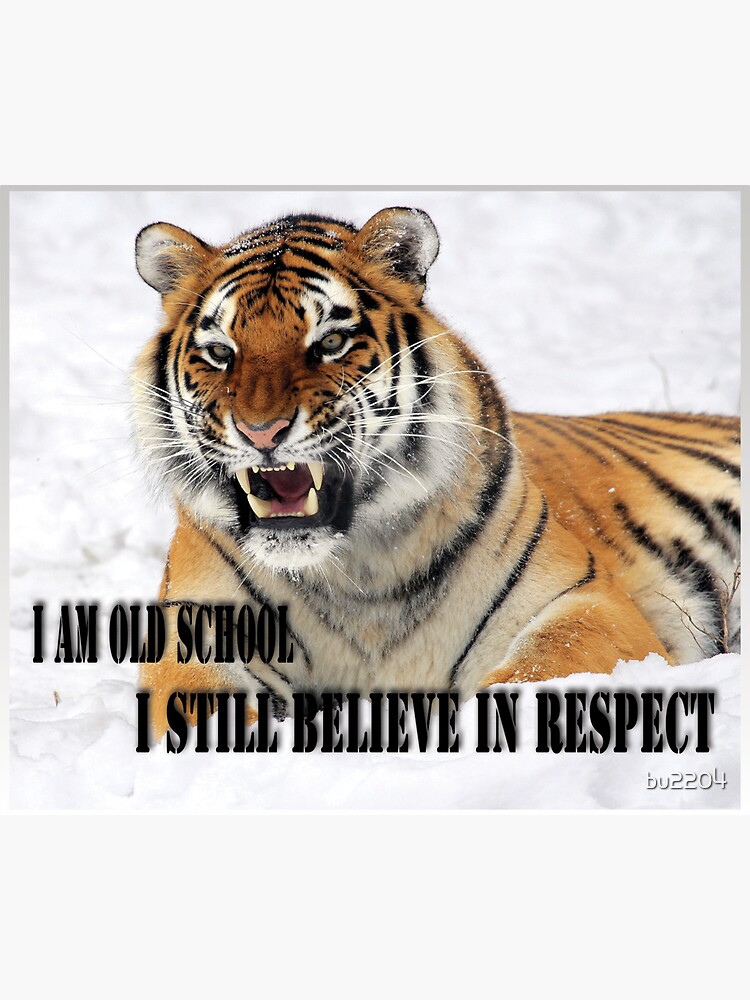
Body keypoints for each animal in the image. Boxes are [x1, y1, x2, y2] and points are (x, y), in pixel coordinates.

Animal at [132, 206, 741, 741]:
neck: (355, 571)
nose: (261, 432)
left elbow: (537, 672)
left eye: (330, 343)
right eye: (220, 352)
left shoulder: (583, 601)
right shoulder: (197, 632)